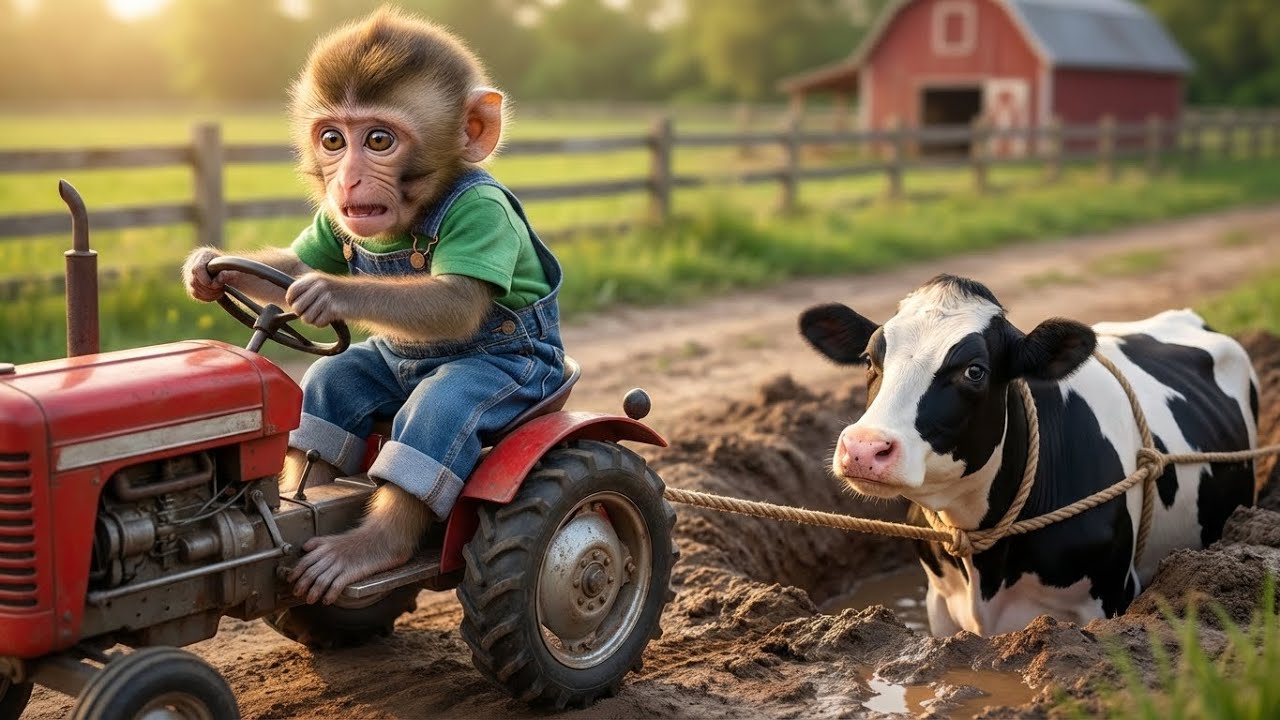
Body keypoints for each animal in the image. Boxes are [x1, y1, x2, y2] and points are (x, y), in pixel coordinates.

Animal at [182, 8, 565, 606]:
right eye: (333, 140)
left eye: (380, 140)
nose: (348, 178)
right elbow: (294, 262)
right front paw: (203, 267)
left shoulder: (483, 213)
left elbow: (457, 298)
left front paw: (325, 290)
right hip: (375, 367)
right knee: (328, 392)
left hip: (511, 384)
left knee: (435, 424)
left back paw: (366, 549)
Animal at [799, 275, 1258, 637]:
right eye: (868, 358)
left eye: (975, 370)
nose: (864, 447)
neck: (984, 564)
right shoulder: (940, 602)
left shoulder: (1108, 597)